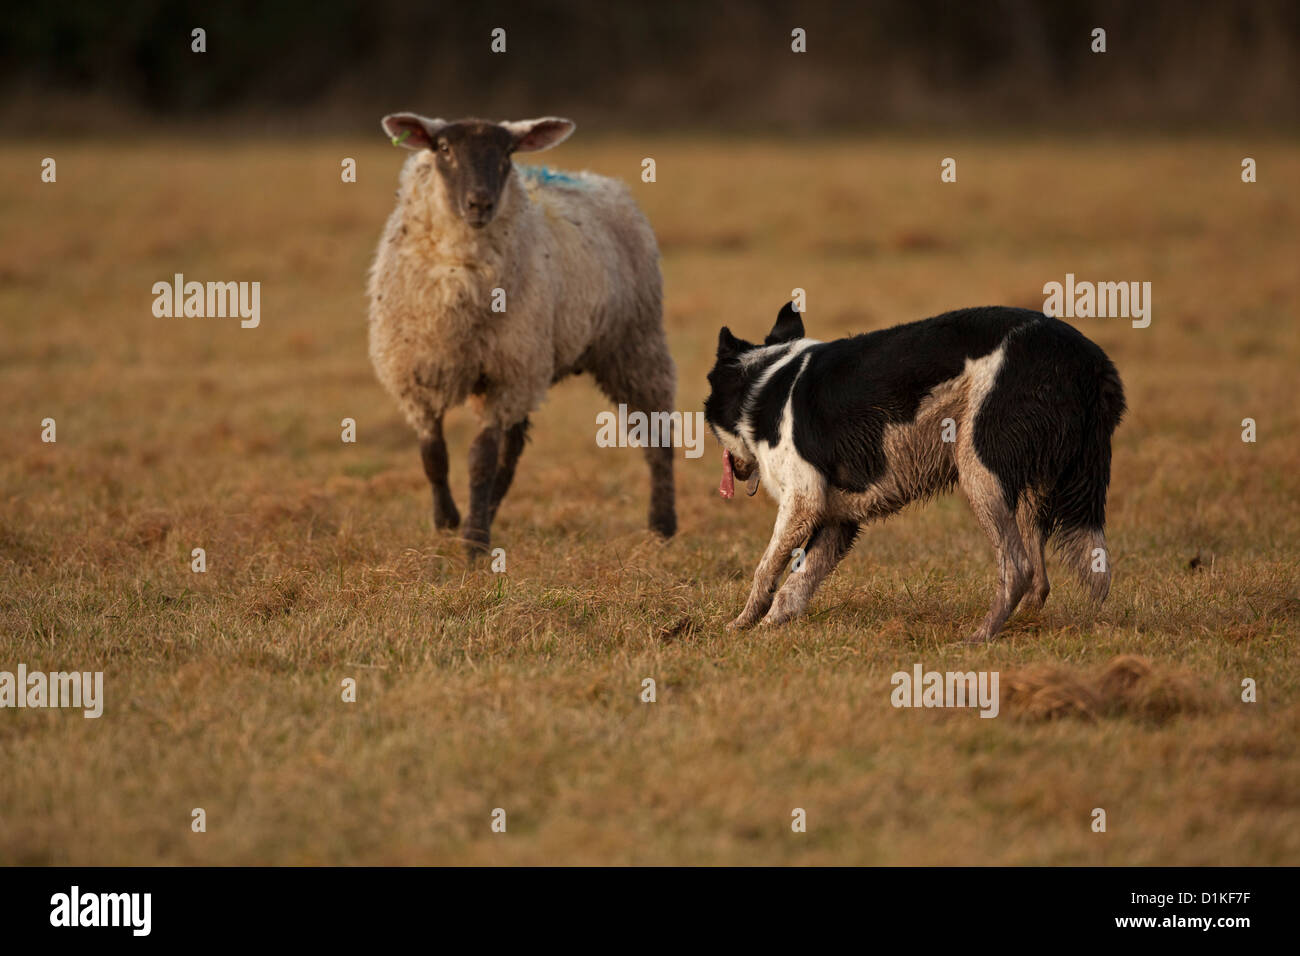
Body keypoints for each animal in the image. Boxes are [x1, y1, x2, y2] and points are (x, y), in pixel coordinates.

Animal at [367, 114, 677, 556]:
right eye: (443, 148)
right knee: (511, 453)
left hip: (633, 344)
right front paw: (447, 523)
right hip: (534, 360)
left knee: (657, 437)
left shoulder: (503, 376)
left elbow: (480, 459)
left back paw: (662, 526)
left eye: (508, 153)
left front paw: (474, 544)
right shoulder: (419, 374)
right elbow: (434, 455)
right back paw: (487, 510)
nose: (480, 203)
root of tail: (601, 181)